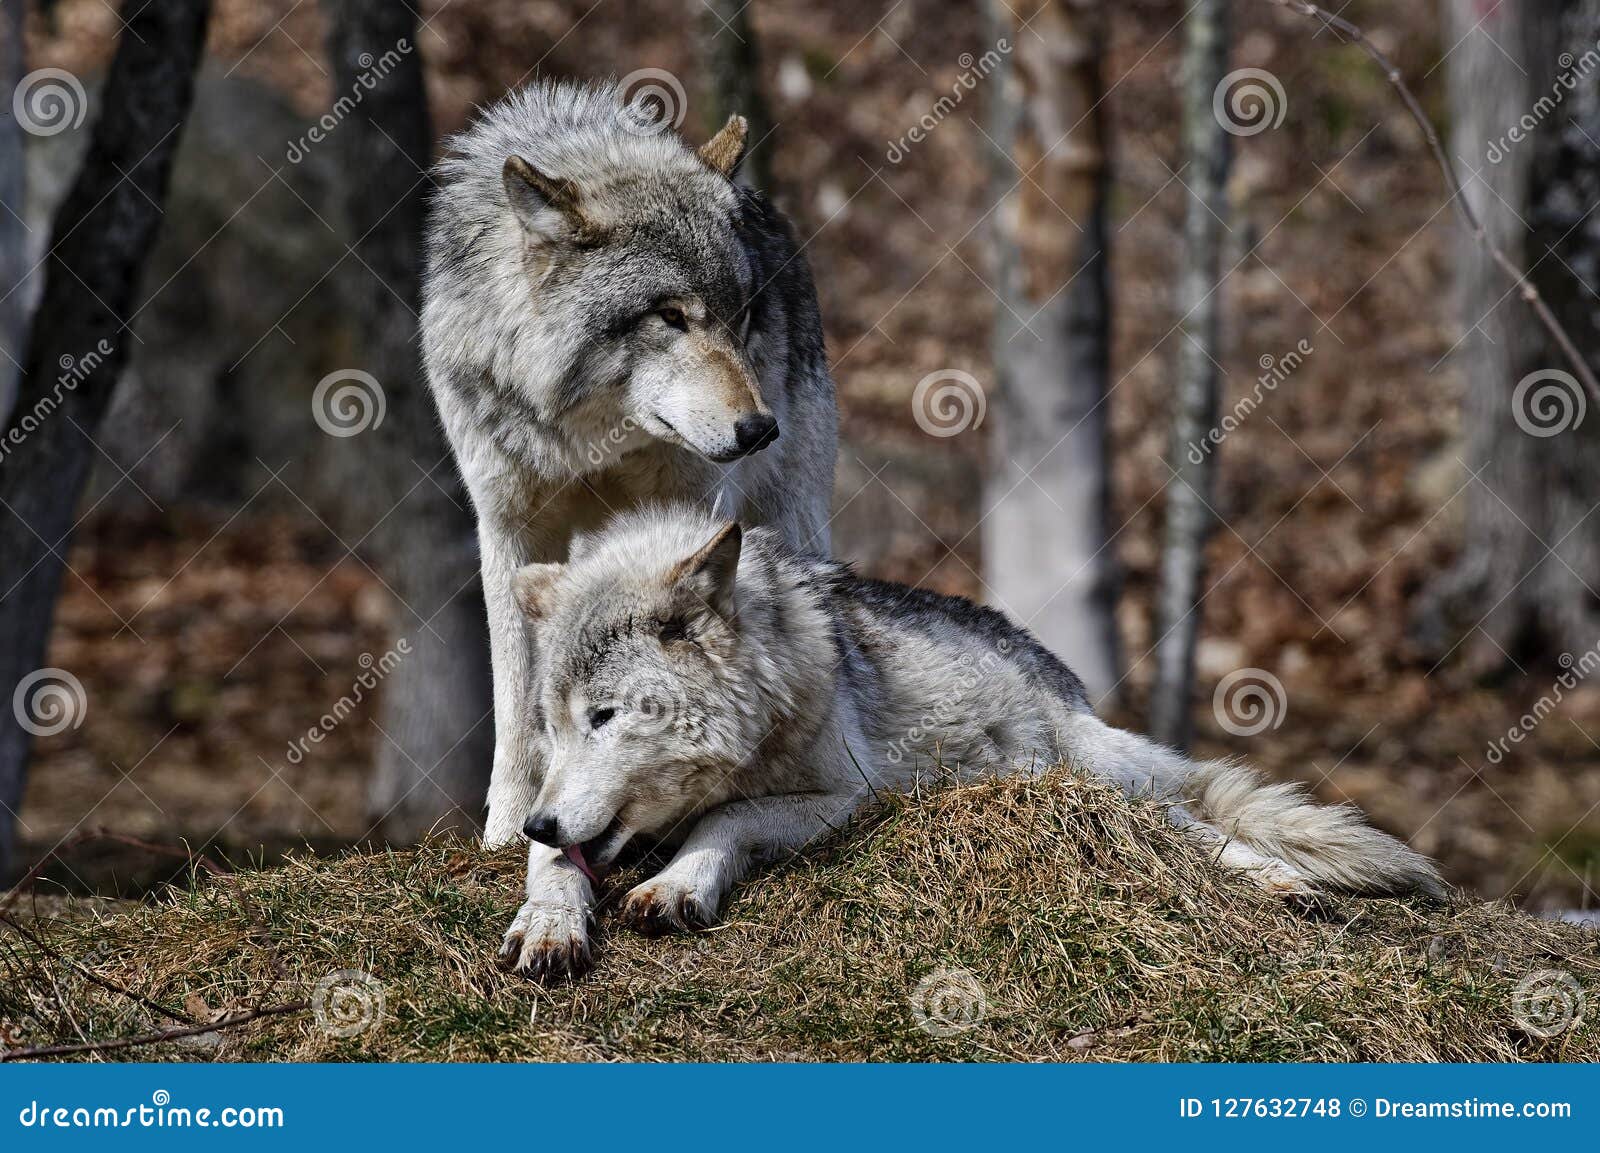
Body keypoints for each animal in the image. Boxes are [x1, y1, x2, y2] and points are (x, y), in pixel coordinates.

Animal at [421, 80, 837, 850]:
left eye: (742, 315)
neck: (587, 435)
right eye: (669, 316)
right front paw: (508, 827)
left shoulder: (697, 508)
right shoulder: (508, 527)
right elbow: (516, 694)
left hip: (793, 508)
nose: (759, 428)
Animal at [498, 504, 1444, 977]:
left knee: (1198, 826)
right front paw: (550, 921)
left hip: (1095, 775)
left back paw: (1283, 881)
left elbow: (720, 821)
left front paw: (674, 883)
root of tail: (1060, 673)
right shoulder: (560, 809)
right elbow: (555, 868)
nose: (539, 820)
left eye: (607, 716)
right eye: (554, 721)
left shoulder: (846, 796)